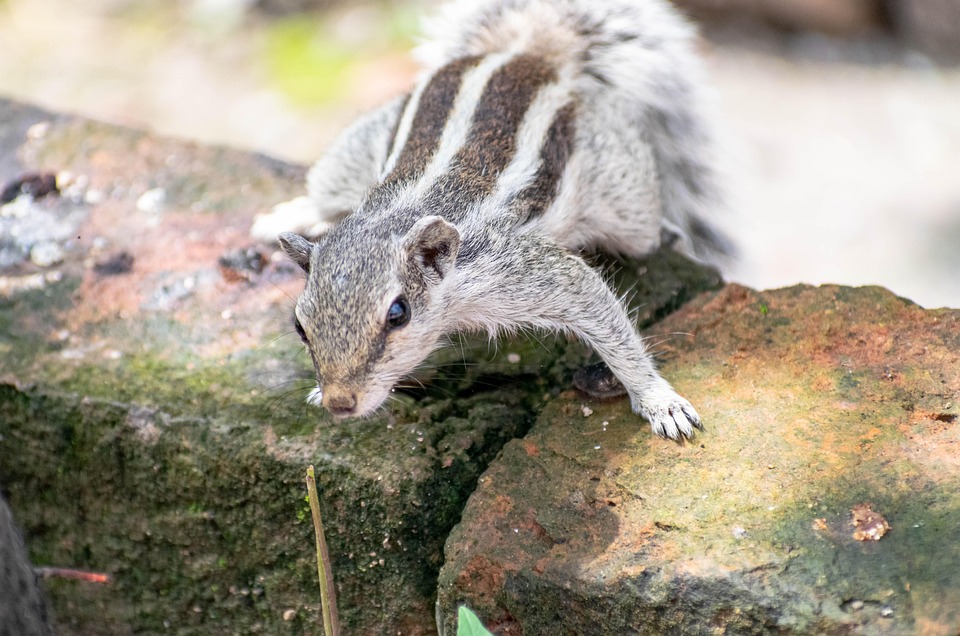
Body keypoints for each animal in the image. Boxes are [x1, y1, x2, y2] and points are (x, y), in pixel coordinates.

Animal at [259, 0, 729, 440]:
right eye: (299, 324)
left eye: (398, 313)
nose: (340, 403)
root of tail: (523, 53)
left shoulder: (526, 270)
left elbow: (607, 321)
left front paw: (658, 400)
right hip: (354, 147)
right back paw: (292, 213)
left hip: (623, 186)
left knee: (641, 230)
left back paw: (667, 233)